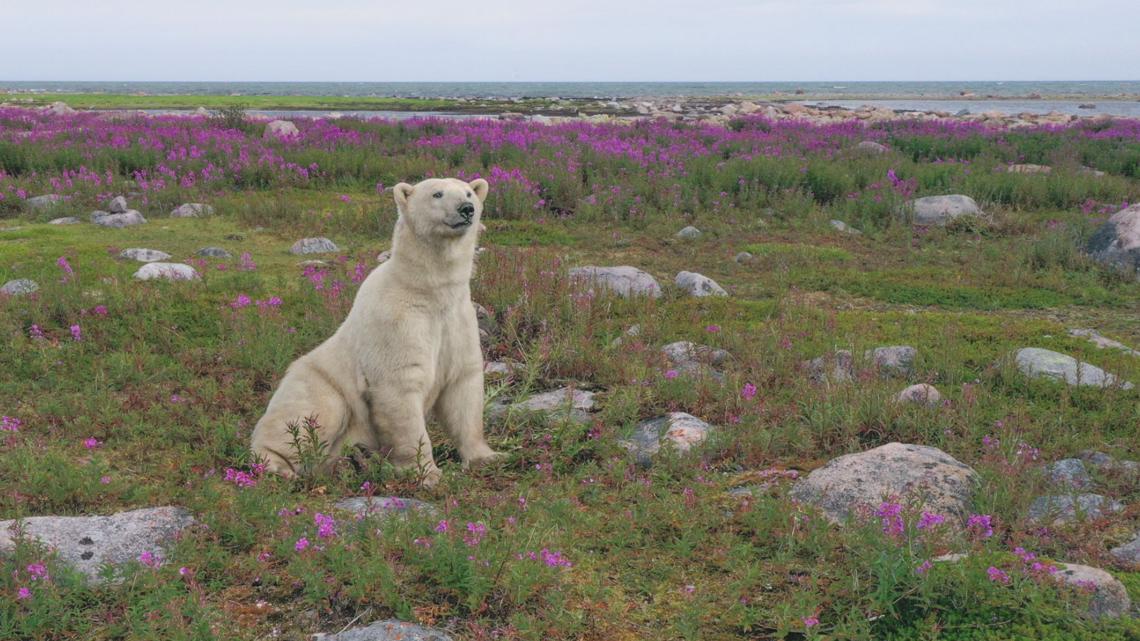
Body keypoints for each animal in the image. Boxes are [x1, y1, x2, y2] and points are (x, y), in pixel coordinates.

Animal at [250, 177, 504, 485]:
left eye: (468, 193)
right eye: (437, 193)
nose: (466, 209)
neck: (427, 292)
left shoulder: (458, 322)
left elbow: (463, 390)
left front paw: (487, 457)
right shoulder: (395, 322)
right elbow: (400, 389)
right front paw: (426, 472)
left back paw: (353, 461)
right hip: (317, 383)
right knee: (311, 414)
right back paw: (278, 466)